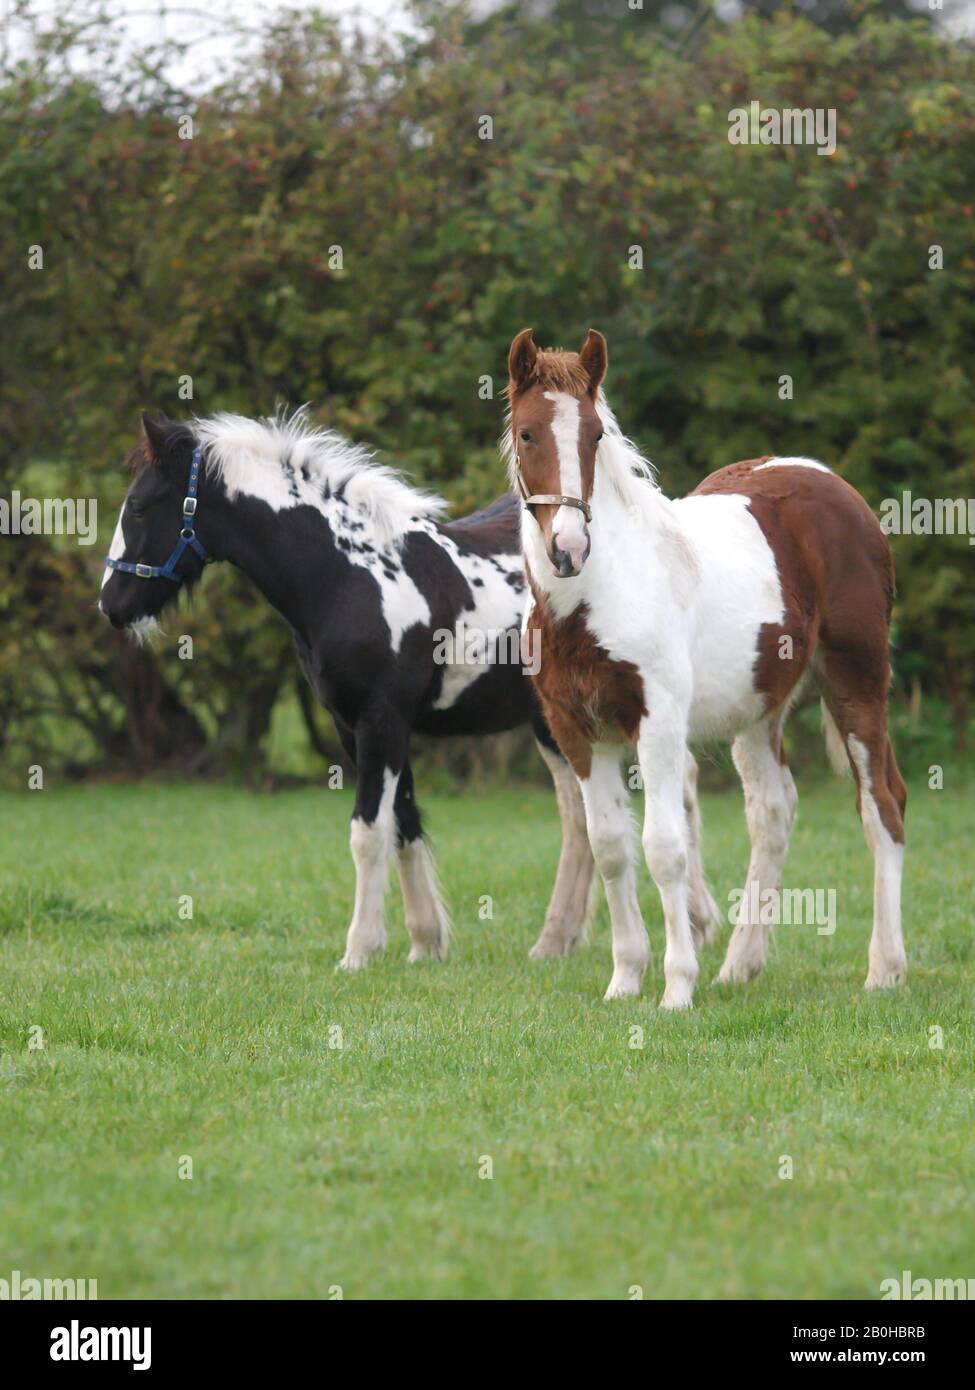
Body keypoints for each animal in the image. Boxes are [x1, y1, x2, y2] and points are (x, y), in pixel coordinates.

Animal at [98, 407, 610, 967]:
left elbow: (368, 832)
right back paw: (556, 941)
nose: (110, 605)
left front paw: (359, 952)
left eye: (139, 508)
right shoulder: (356, 726)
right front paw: (424, 944)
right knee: (578, 819)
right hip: (548, 723)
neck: (350, 575)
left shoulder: (380, 722)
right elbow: (403, 825)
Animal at [506, 327, 906, 1009]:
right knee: (773, 812)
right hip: (758, 710)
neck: (594, 598)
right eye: (528, 433)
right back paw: (740, 966)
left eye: (595, 435)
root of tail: (836, 487)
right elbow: (610, 848)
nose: (569, 549)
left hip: (857, 683)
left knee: (882, 803)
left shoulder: (660, 723)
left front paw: (676, 987)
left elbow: (664, 848)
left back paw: (885, 969)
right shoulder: (578, 732)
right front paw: (625, 979)